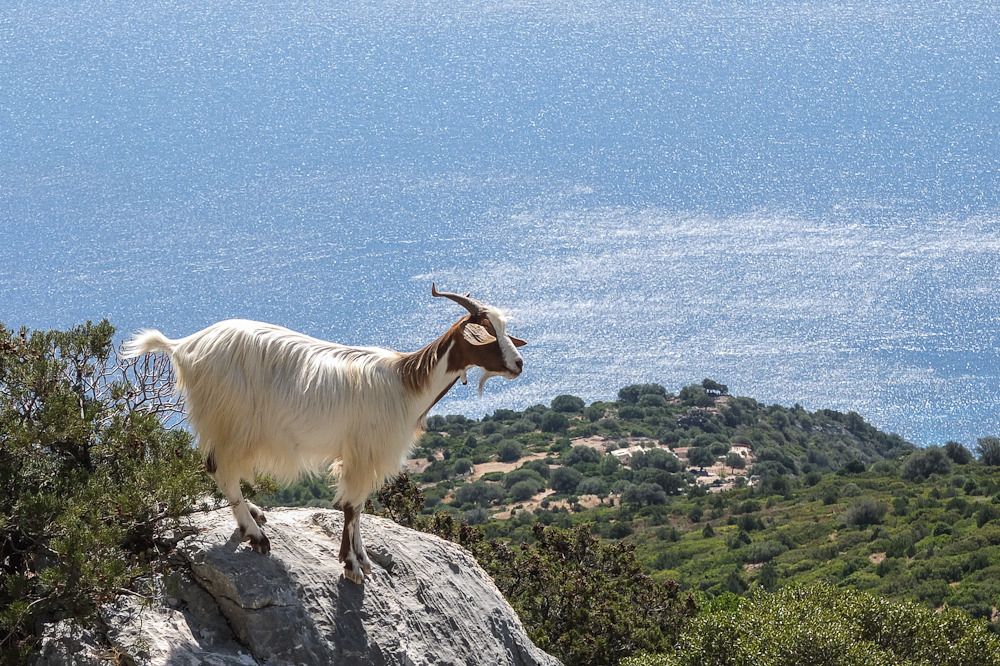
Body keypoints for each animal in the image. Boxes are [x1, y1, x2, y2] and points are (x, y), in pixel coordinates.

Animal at [123, 285, 526, 583]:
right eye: (486, 335)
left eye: (506, 332)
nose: (519, 364)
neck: (405, 386)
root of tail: (185, 346)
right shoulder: (362, 452)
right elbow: (350, 507)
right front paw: (350, 565)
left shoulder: (361, 454)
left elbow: (358, 508)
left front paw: (361, 558)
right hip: (230, 420)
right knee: (219, 468)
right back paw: (255, 535)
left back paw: (253, 514)